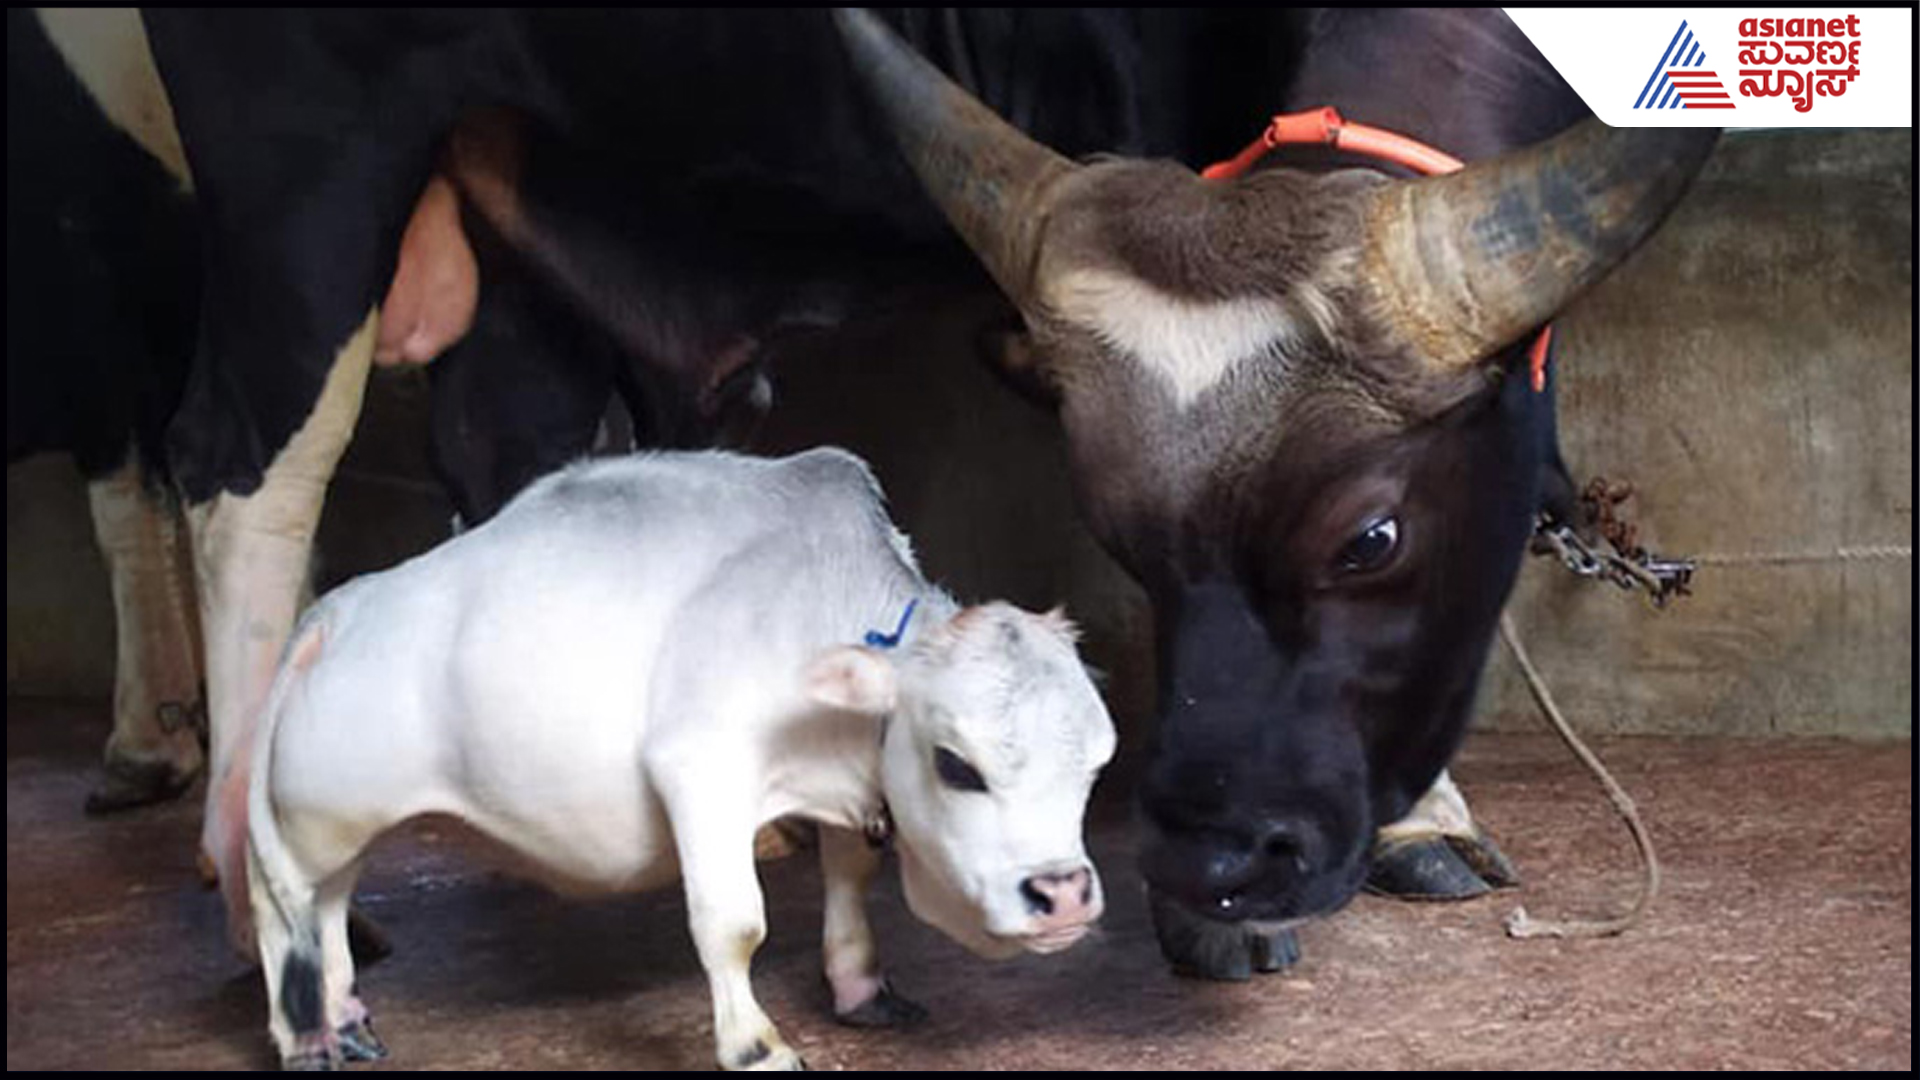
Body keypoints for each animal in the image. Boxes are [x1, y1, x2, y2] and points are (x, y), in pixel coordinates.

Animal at [246, 447, 1116, 1070]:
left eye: (1097, 766)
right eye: (956, 764)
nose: (1064, 895)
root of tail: (333, 611)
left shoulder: (848, 790)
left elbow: (849, 877)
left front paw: (859, 987)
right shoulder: (702, 767)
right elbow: (733, 923)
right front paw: (756, 1045)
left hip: (341, 817)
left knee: (329, 903)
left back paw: (345, 1016)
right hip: (322, 814)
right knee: (281, 899)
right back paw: (306, 1037)